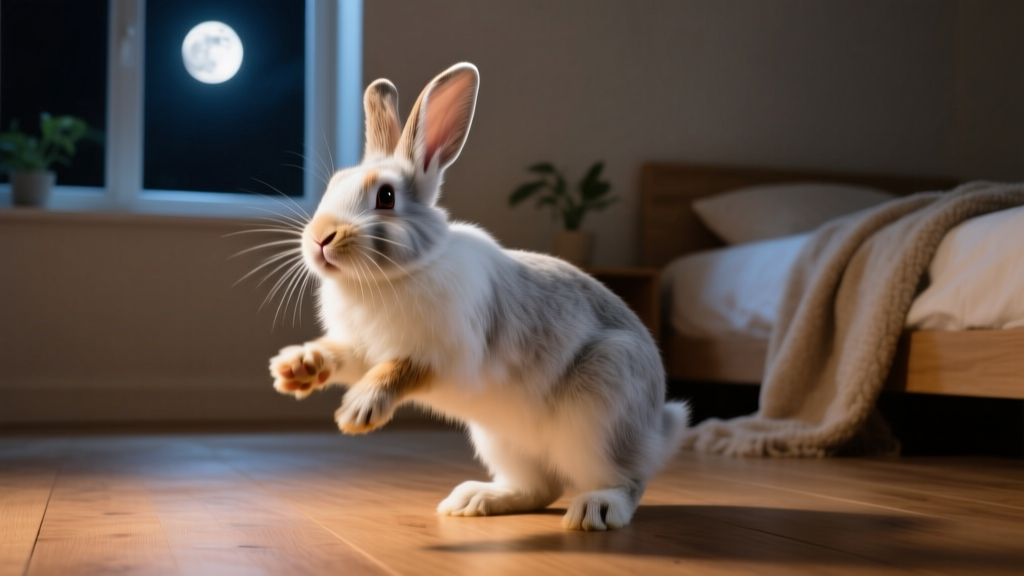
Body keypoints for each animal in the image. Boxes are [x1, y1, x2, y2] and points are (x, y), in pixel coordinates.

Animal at [268, 62, 689, 531]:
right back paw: (475, 500)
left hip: (602, 411)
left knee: (628, 479)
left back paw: (594, 509)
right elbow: (341, 356)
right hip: (502, 441)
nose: (320, 238)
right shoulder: (362, 349)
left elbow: (400, 370)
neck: (393, 277)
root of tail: (657, 426)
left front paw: (358, 412)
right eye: (333, 185)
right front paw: (295, 369)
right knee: (539, 488)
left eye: (386, 197)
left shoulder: (447, 354)